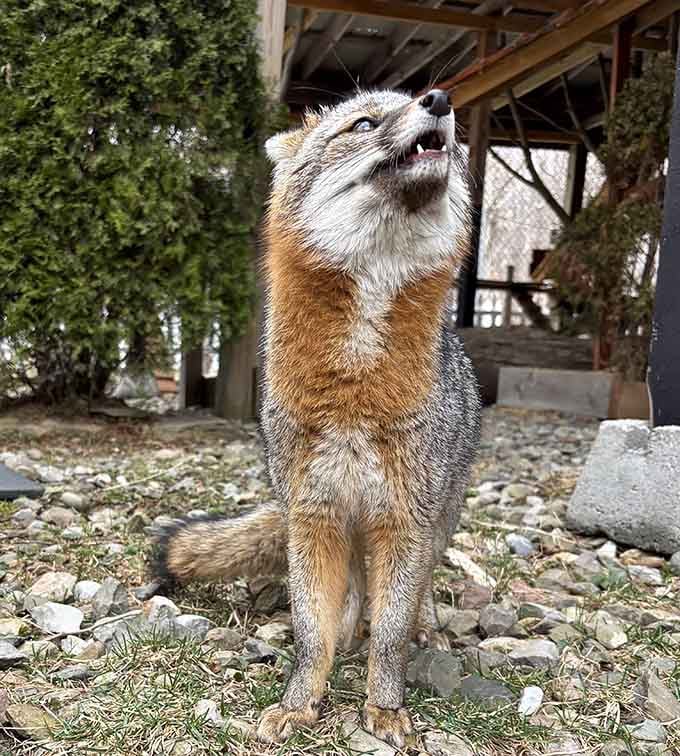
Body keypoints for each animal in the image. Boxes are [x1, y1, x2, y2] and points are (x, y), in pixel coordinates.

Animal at [153, 88, 481, 747]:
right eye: (364, 123)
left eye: (456, 144)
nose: (438, 99)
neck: (354, 387)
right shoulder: (315, 518)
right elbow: (312, 631)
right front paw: (302, 700)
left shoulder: (404, 523)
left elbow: (391, 635)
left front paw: (384, 707)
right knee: (352, 593)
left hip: (433, 523)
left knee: (414, 594)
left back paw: (424, 626)